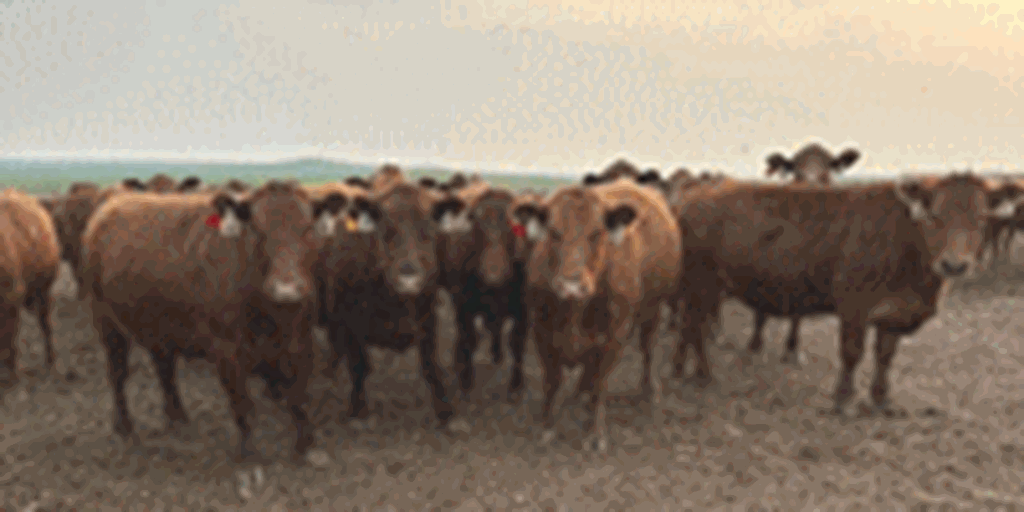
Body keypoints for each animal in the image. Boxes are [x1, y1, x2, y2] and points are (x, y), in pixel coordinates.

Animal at [79, 181, 346, 464]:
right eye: (257, 231)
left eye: (307, 229)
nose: (287, 289)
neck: (273, 316)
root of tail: (110, 205)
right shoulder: (226, 351)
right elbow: (242, 404)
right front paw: (248, 452)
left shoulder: (302, 342)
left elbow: (299, 397)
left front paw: (306, 446)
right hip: (106, 323)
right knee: (118, 373)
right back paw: (124, 426)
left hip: (158, 325)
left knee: (164, 367)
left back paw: (177, 417)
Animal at [320, 173, 464, 431]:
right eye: (386, 230)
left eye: (428, 230)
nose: (408, 275)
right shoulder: (350, 321)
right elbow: (359, 366)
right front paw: (357, 410)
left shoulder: (428, 317)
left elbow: (431, 367)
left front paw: (446, 412)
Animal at [431, 180, 532, 405]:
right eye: (476, 223)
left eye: (511, 226)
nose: (493, 271)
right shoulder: (464, 306)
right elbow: (469, 339)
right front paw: (466, 381)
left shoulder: (523, 310)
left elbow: (517, 344)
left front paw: (516, 386)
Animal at [514, 178, 683, 452]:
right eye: (554, 233)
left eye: (596, 234)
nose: (572, 286)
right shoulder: (541, 333)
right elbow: (552, 382)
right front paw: (547, 426)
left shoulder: (613, 339)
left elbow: (599, 386)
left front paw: (595, 432)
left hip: (653, 309)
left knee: (647, 347)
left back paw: (650, 389)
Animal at [671, 172, 1024, 415]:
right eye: (933, 215)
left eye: (982, 218)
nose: (954, 264)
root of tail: (694, 196)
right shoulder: (854, 306)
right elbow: (852, 353)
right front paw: (843, 401)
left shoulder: (894, 314)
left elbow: (885, 357)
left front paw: (882, 400)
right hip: (702, 285)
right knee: (693, 327)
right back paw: (702, 374)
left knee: (690, 327)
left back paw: (685, 371)